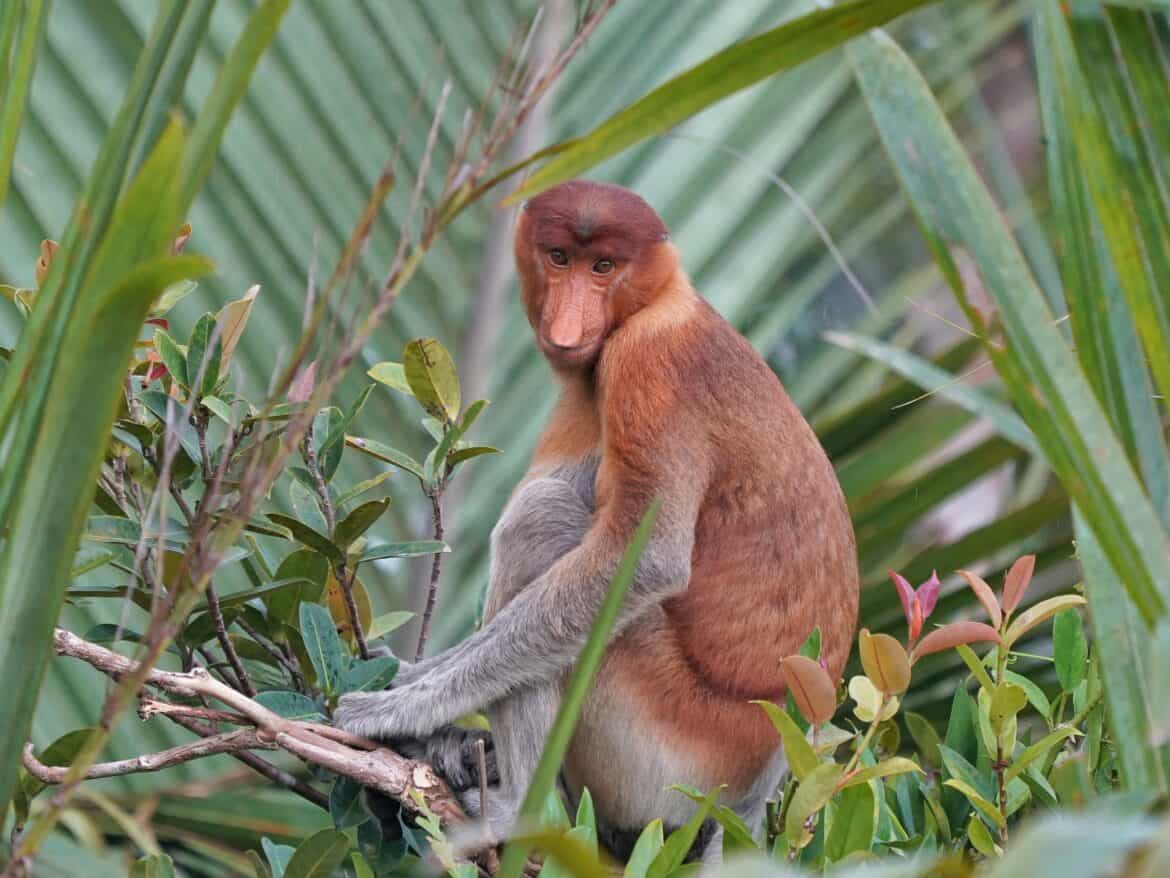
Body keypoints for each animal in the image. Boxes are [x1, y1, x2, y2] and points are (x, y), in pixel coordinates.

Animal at [335, 179, 859, 862]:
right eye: (559, 257)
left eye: (604, 267)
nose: (568, 321)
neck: (655, 305)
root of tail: (754, 794)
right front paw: (406, 680)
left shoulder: (647, 370)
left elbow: (644, 560)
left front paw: (400, 708)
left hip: (669, 747)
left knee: (540, 523)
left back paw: (514, 810)